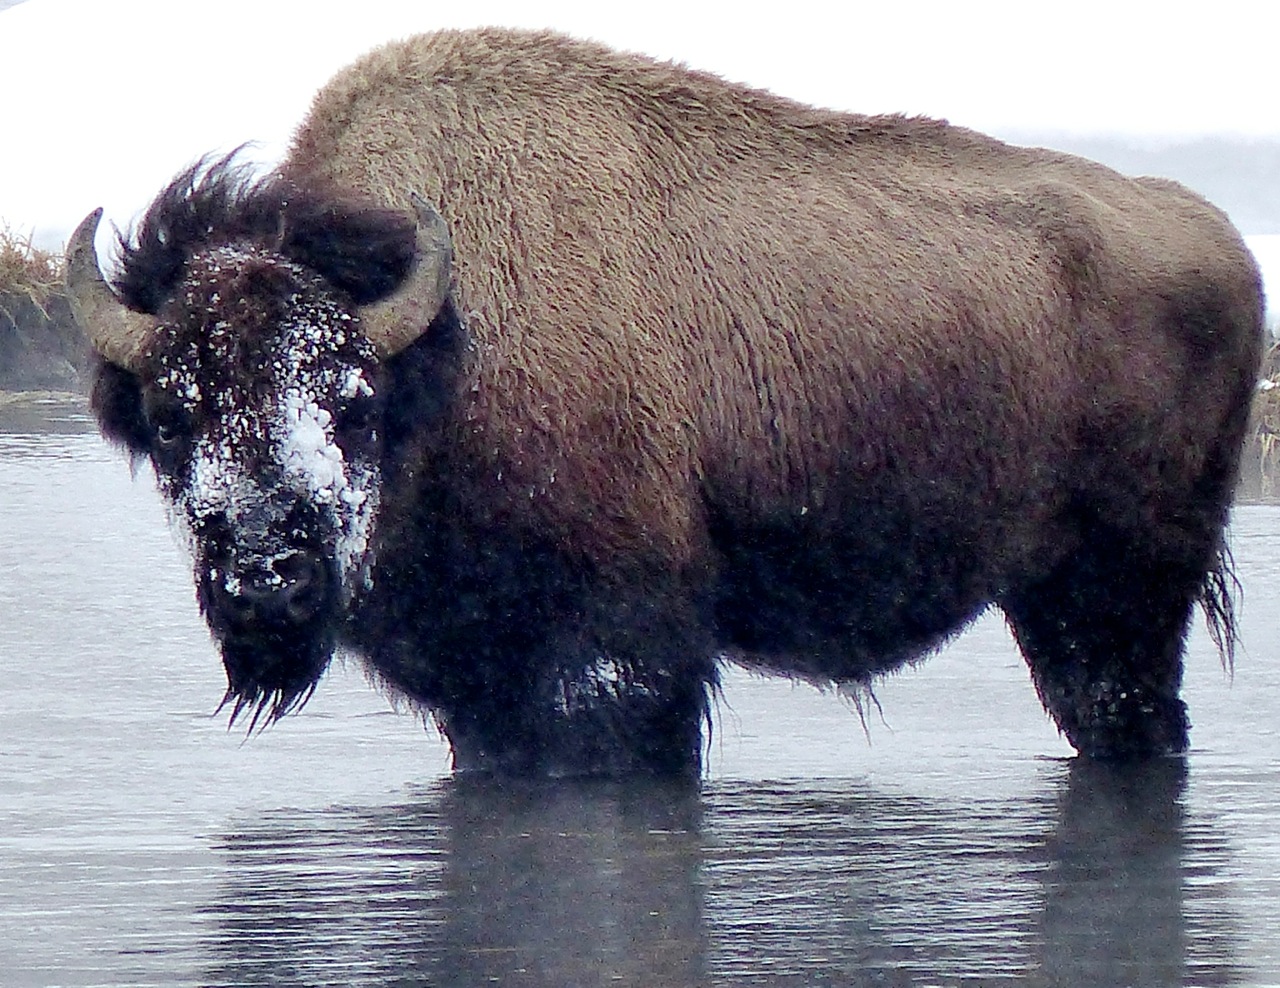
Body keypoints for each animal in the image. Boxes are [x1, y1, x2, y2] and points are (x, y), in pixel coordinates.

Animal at [68, 28, 1265, 776]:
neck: (451, 349)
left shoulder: (617, 657)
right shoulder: (479, 693)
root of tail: (1219, 236)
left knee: (1128, 711)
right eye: (171, 416)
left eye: (353, 400)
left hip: (1118, 592)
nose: (265, 575)